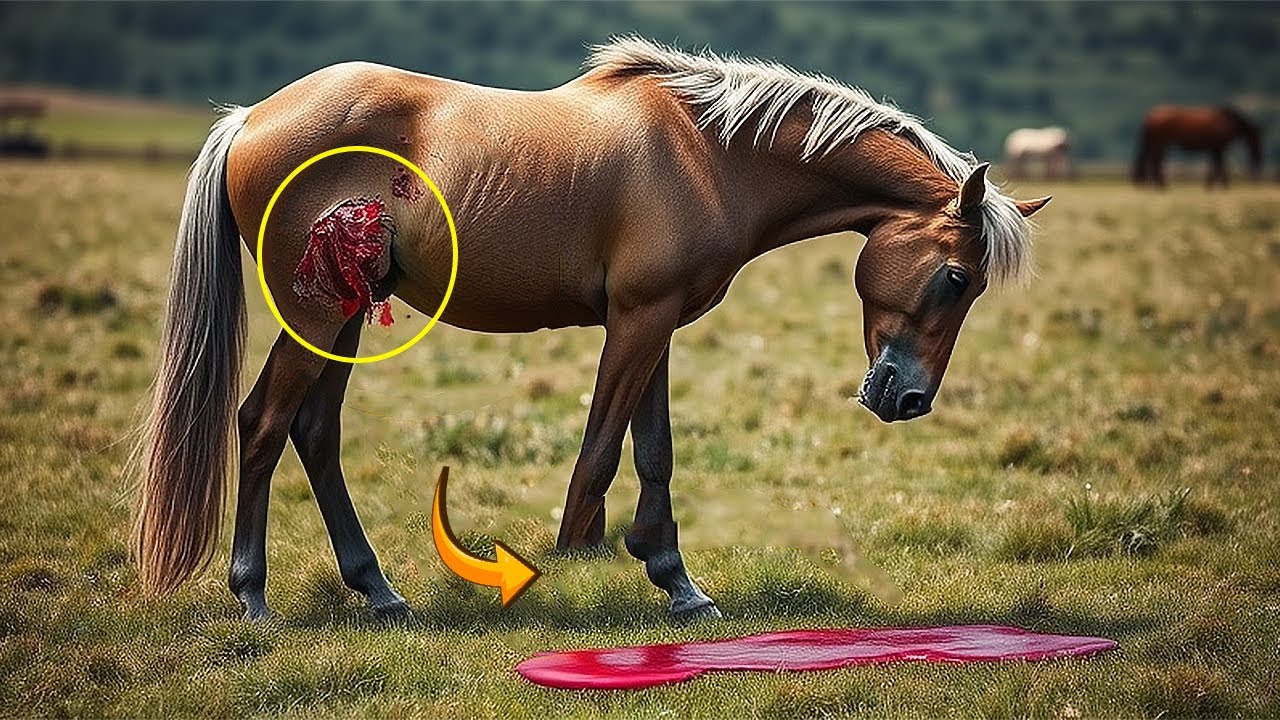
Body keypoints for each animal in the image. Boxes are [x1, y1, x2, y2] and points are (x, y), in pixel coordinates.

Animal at [132, 37, 1049, 623]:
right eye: (958, 278)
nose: (910, 399)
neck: (709, 153)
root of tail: (250, 119)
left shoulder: (659, 321)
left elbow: (654, 452)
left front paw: (676, 581)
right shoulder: (638, 319)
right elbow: (603, 450)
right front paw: (579, 570)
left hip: (349, 313)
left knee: (314, 432)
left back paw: (379, 591)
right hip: (320, 310)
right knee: (264, 423)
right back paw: (253, 597)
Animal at [1133, 104, 1262, 187]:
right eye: (1256, 139)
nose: (1258, 157)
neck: (1228, 122)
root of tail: (1150, 116)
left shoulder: (1214, 148)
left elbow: (1215, 164)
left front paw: (1211, 185)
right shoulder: (1219, 147)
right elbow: (1221, 165)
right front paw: (1223, 185)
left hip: (1159, 143)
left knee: (1153, 159)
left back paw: (1157, 184)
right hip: (1161, 142)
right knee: (1155, 160)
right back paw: (1161, 185)